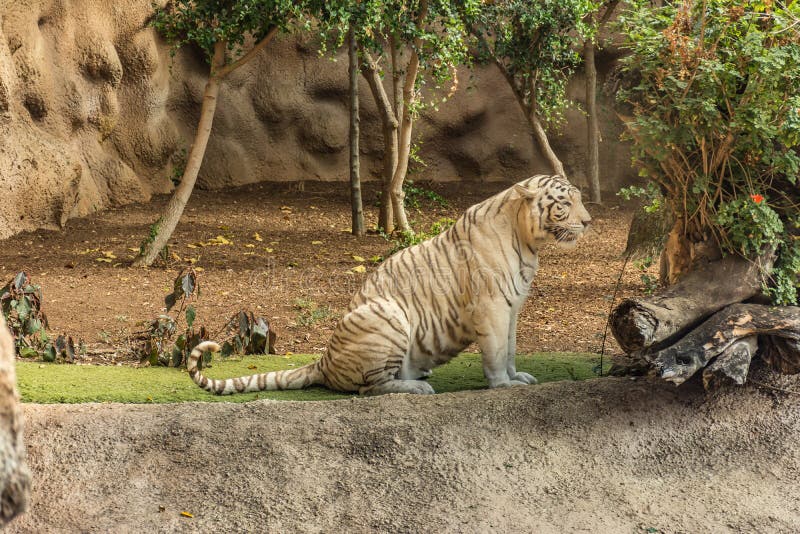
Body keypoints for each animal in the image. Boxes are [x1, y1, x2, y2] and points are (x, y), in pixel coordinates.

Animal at [188, 174, 591, 396]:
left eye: (580, 198)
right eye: (564, 202)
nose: (588, 221)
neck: (528, 241)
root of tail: (324, 361)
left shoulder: (512, 307)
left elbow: (509, 349)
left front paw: (517, 375)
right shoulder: (491, 306)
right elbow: (495, 352)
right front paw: (503, 385)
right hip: (388, 315)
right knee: (370, 387)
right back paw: (418, 386)